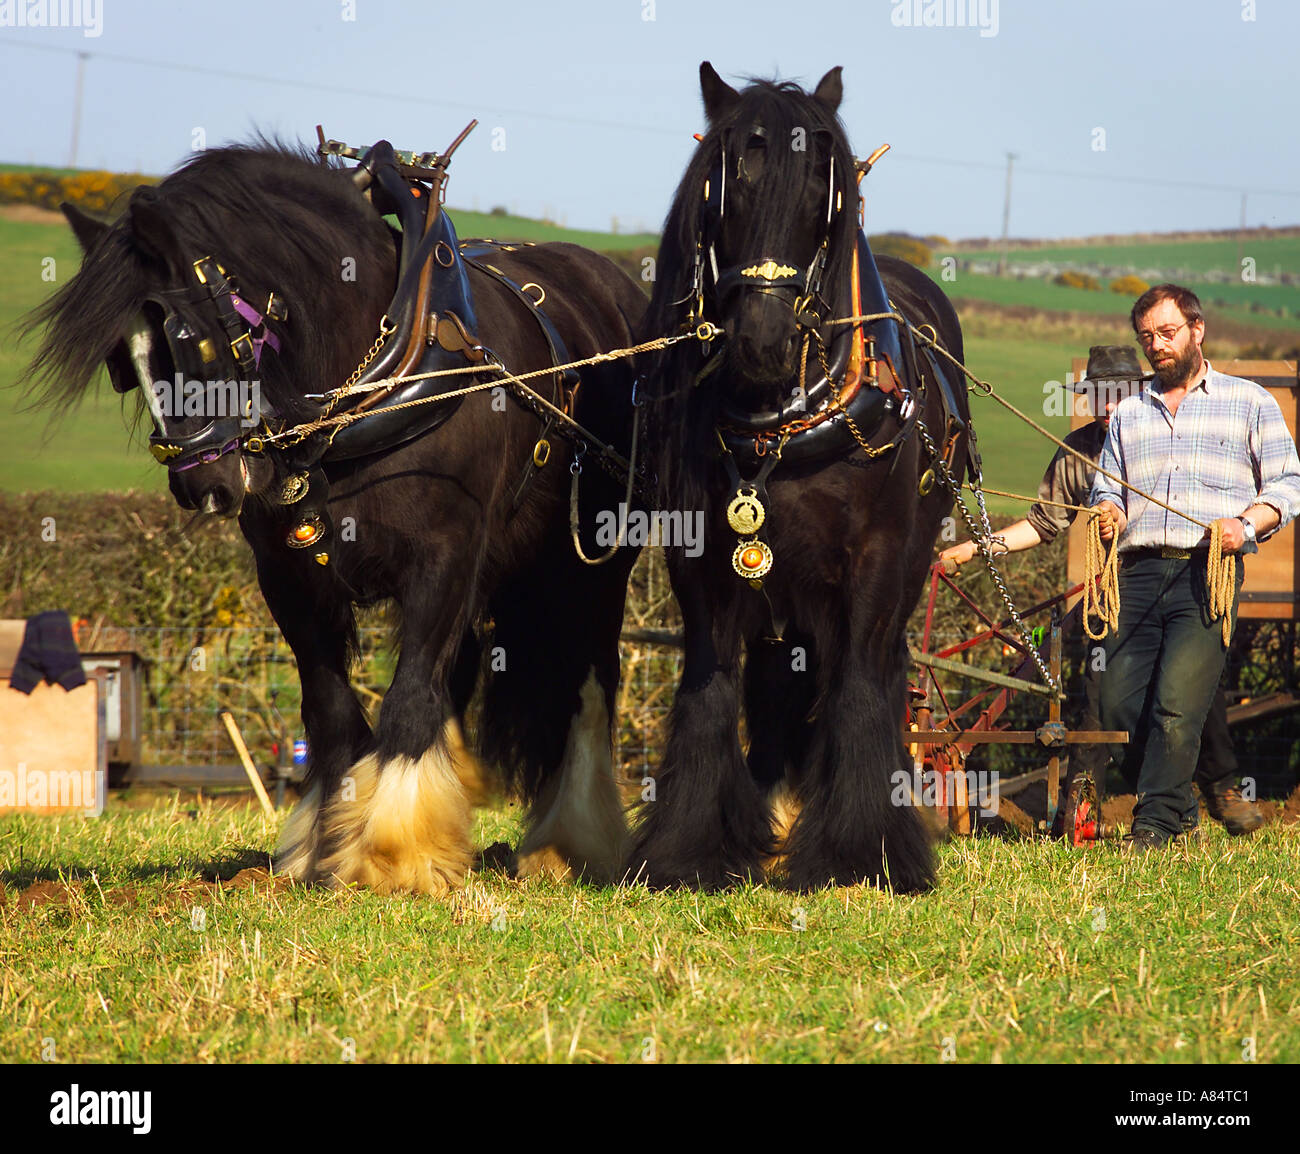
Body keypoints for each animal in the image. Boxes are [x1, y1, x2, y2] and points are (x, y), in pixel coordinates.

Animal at [23, 139, 646, 894]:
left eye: (190, 339)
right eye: (123, 361)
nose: (203, 486)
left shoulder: (444, 558)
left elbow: (409, 696)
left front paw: (394, 853)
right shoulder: (290, 577)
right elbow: (330, 706)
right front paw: (323, 844)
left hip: (593, 565)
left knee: (588, 681)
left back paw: (569, 841)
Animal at [628, 63, 972, 892]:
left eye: (825, 189)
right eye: (727, 185)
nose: (763, 340)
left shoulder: (875, 558)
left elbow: (856, 688)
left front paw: (859, 851)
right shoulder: (703, 558)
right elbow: (711, 688)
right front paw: (690, 848)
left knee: (877, 669)